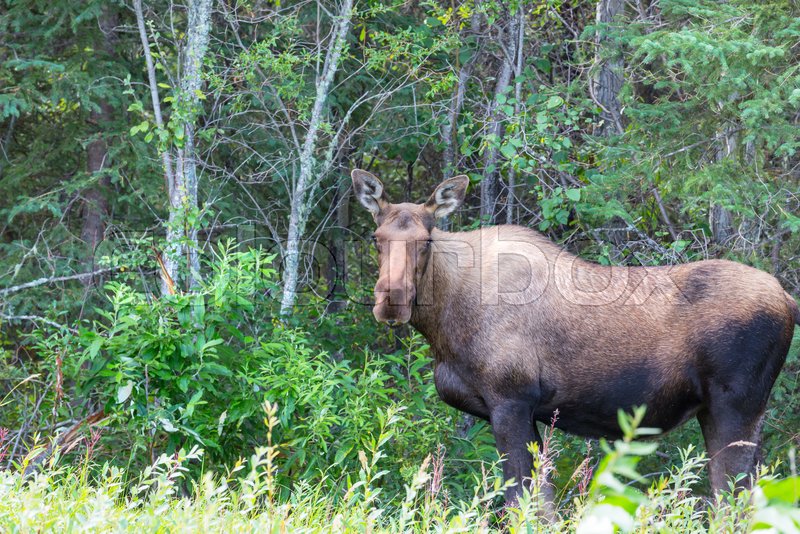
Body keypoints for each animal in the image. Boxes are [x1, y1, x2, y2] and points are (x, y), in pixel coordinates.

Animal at [350, 168, 799, 514]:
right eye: (376, 237)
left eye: (426, 240)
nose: (392, 300)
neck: (443, 326)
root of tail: (789, 301)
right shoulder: (527, 412)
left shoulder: (510, 400)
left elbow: (526, 506)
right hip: (728, 411)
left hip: (736, 405)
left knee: (736, 502)